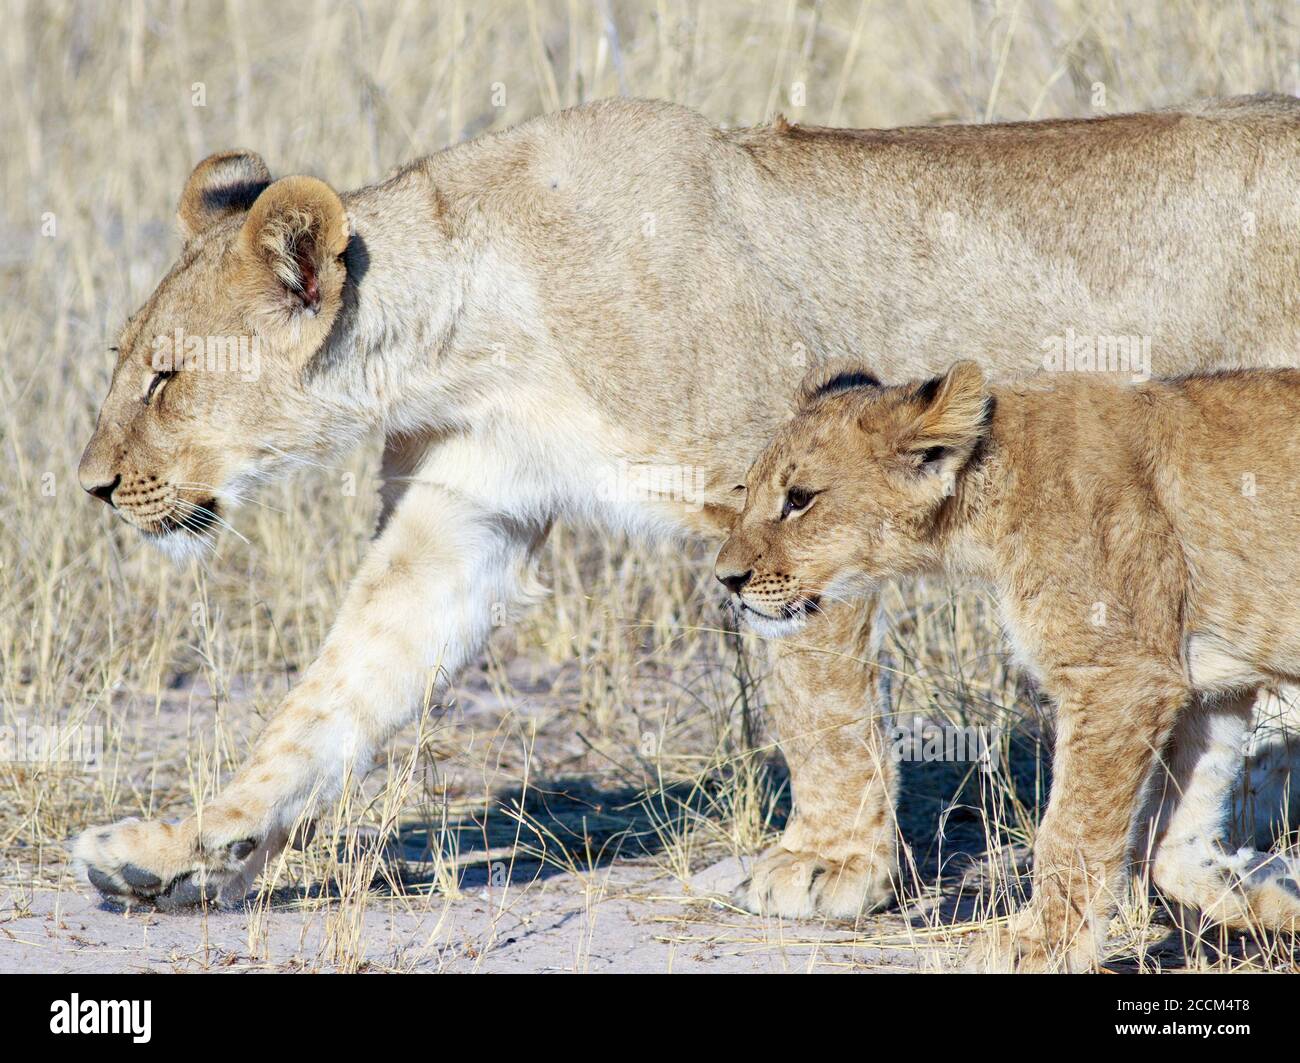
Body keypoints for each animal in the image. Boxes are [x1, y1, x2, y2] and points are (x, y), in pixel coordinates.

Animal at [716, 359, 1300, 970]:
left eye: (800, 498)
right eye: (746, 492)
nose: (725, 579)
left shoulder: (1120, 675)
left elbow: (1073, 830)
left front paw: (1039, 945)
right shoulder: (1207, 686)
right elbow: (1172, 845)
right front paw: (1270, 893)